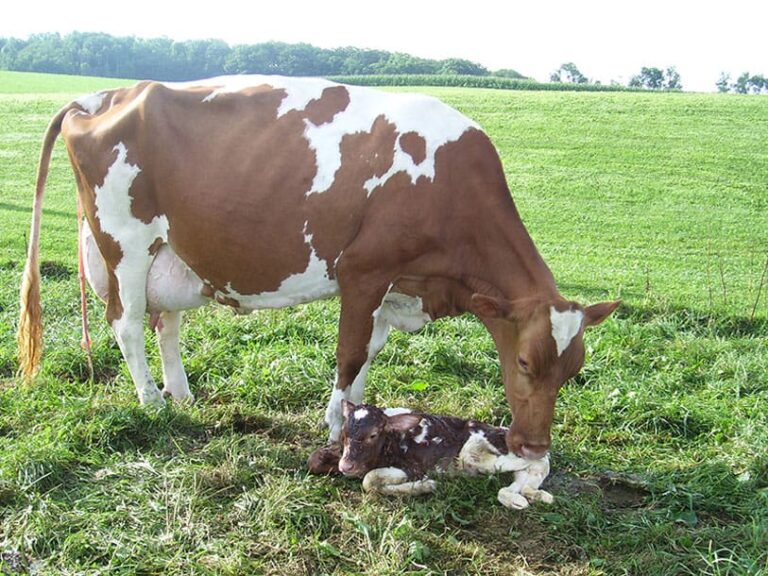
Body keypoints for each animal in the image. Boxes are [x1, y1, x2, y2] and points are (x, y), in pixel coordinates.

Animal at [17, 75, 619, 456]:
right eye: (523, 362)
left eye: (574, 370)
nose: (534, 446)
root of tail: (106, 93)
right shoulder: (364, 272)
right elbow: (349, 354)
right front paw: (336, 426)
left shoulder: (395, 287)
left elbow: (368, 354)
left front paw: (358, 416)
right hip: (126, 241)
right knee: (127, 323)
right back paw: (150, 403)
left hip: (170, 251)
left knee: (165, 323)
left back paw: (181, 394)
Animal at [308, 400, 553, 510]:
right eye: (344, 433)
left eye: (373, 435)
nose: (346, 466)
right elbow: (314, 459)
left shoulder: (412, 466)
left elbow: (369, 480)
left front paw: (424, 485)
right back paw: (526, 497)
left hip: (476, 452)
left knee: (539, 460)